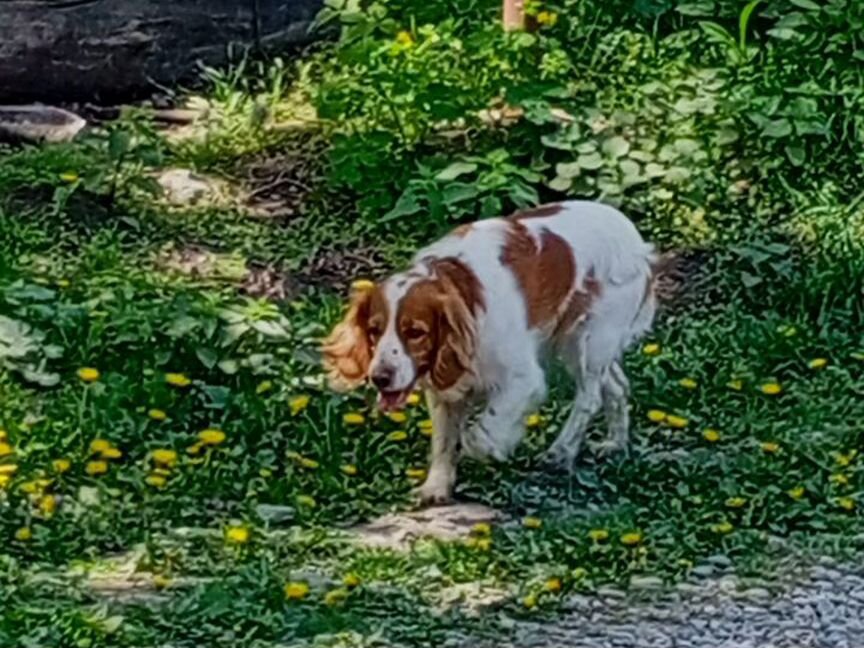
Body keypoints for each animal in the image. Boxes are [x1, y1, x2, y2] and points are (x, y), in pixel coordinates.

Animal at [322, 200, 656, 504]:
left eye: (415, 332)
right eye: (374, 331)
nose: (380, 377)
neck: (466, 294)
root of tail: (635, 237)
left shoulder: (523, 380)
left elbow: (480, 432)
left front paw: (487, 447)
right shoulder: (445, 393)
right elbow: (443, 441)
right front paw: (436, 487)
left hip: (589, 340)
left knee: (590, 397)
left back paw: (561, 452)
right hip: (583, 345)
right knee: (617, 385)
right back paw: (614, 443)